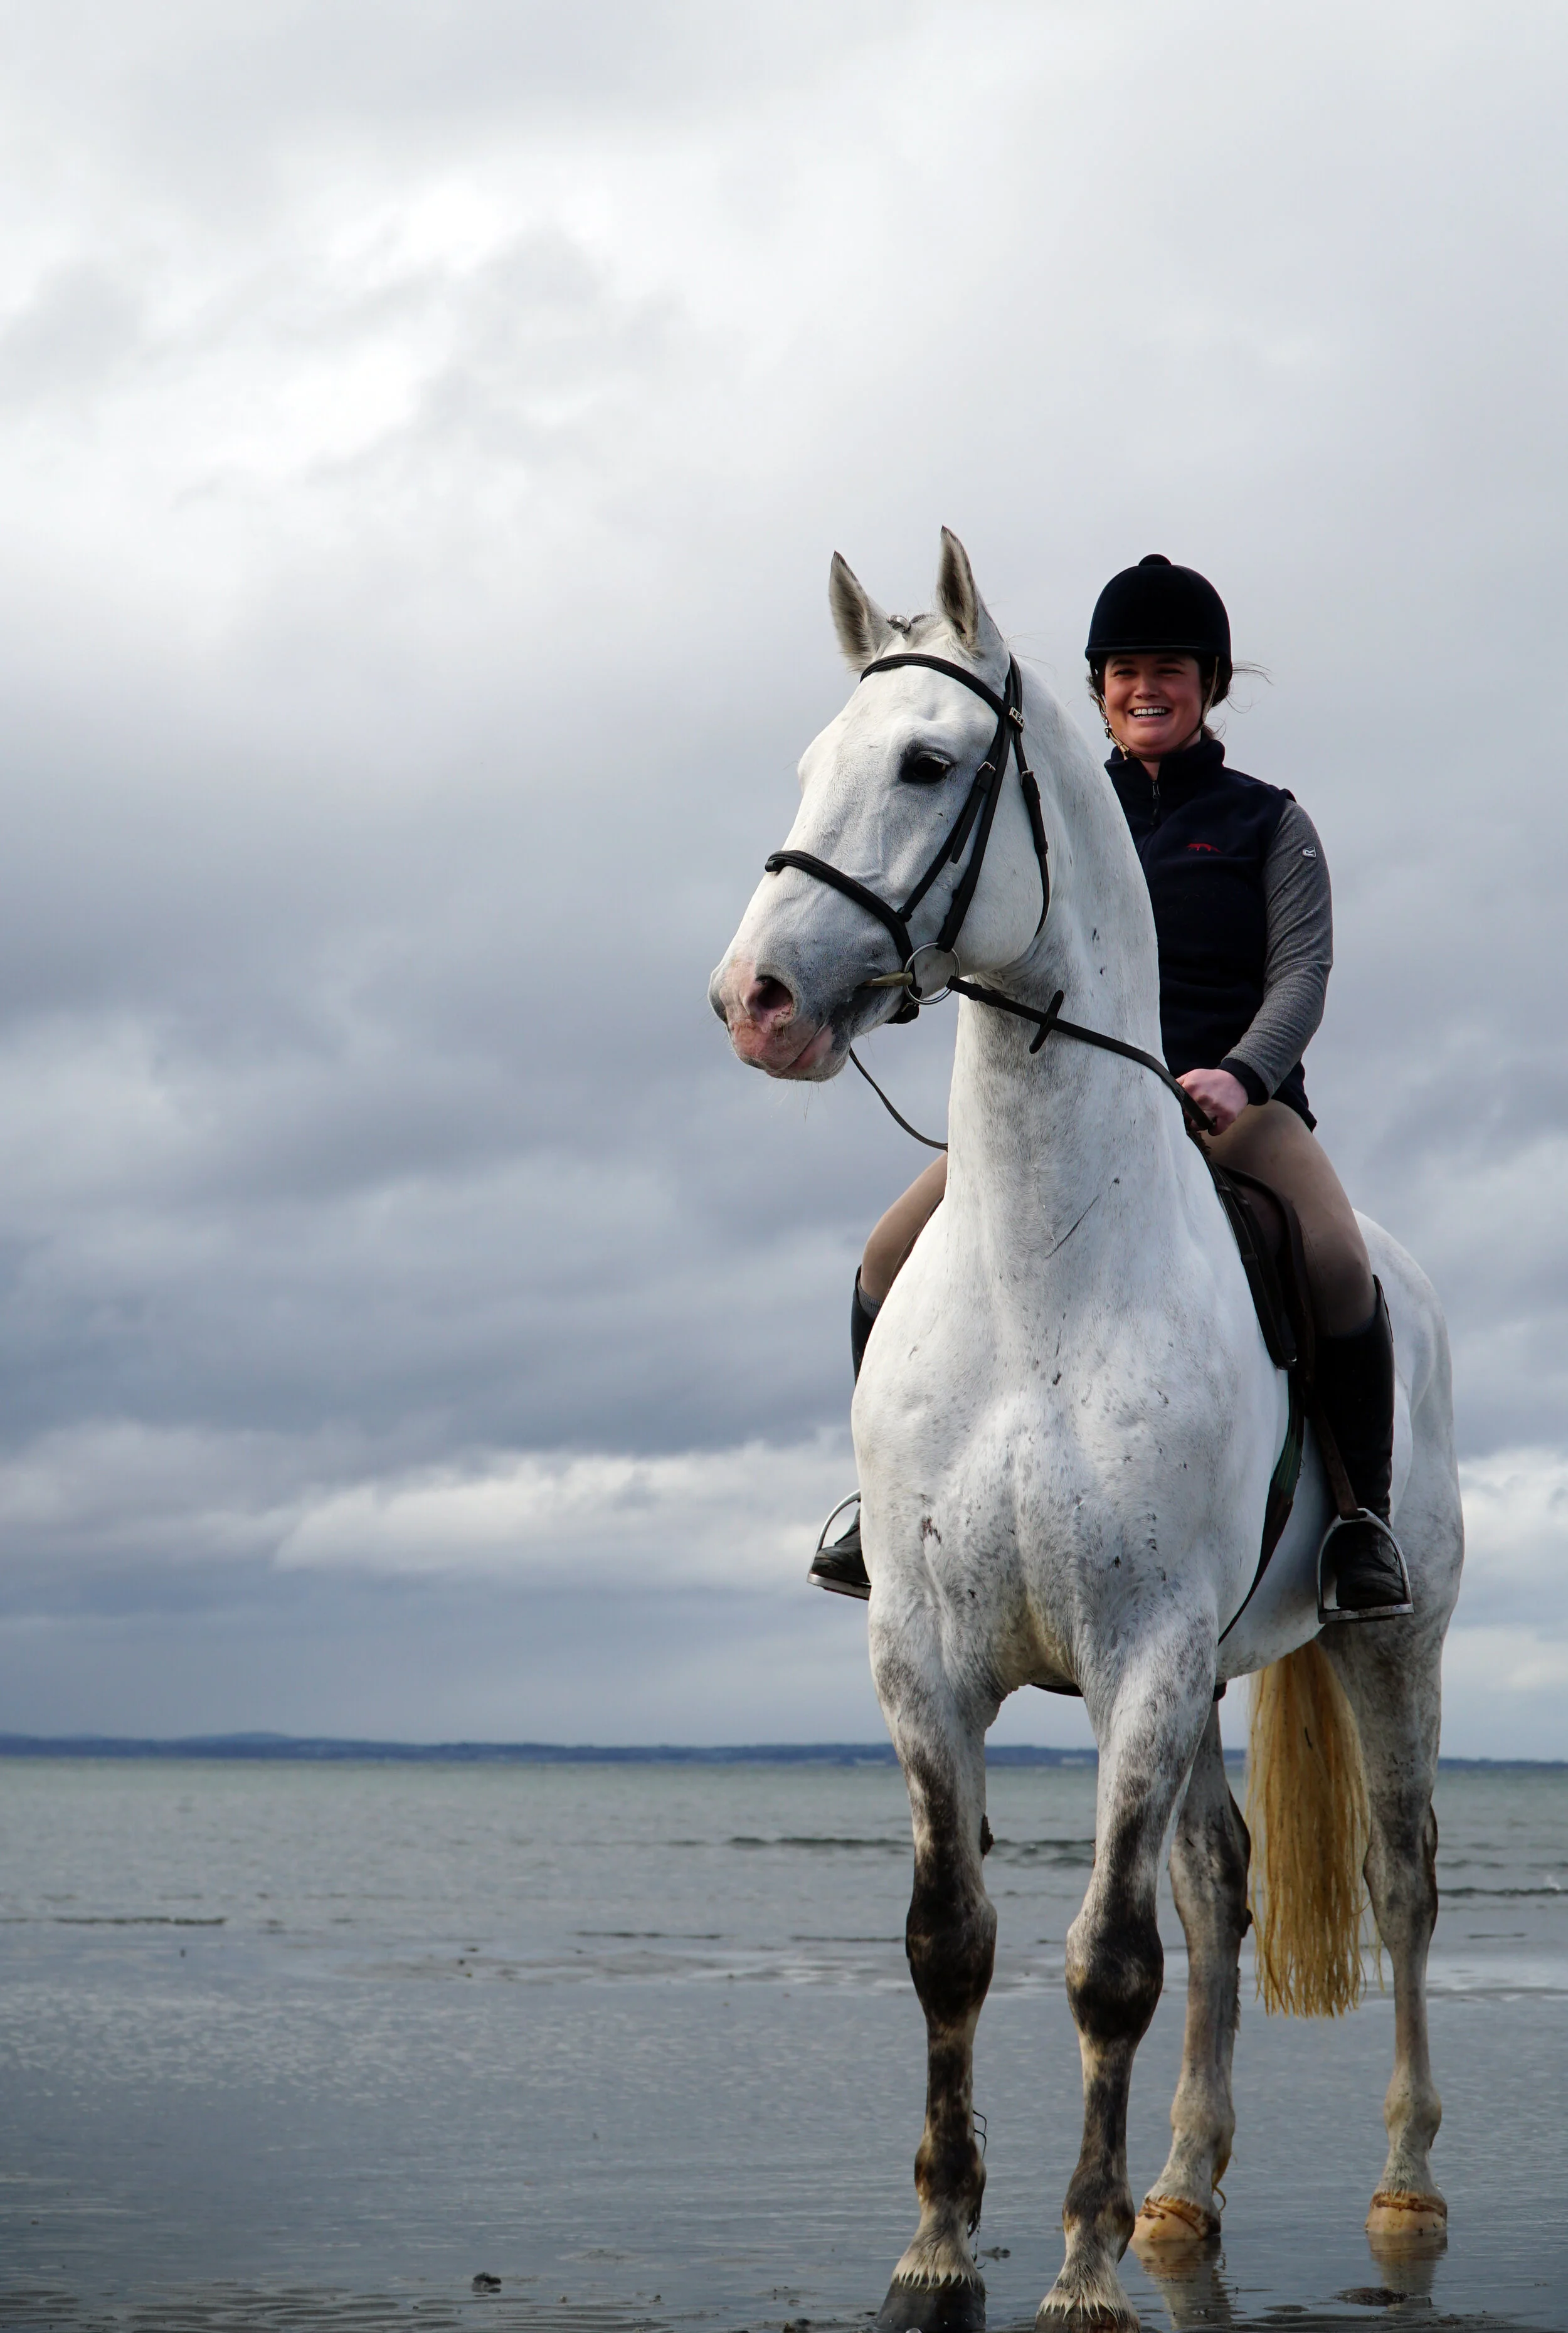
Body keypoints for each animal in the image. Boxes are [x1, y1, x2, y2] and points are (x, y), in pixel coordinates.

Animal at [708, 532, 1463, 2331]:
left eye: (925, 765)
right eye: (811, 764)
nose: (751, 1001)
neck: (1042, 1277)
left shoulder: (1141, 1656)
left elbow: (1106, 1966)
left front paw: (1076, 2272)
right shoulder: (928, 1656)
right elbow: (953, 1940)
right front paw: (936, 2251)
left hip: (1374, 1646)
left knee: (1397, 1880)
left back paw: (1399, 2186)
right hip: (1196, 1694)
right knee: (1217, 1884)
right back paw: (1180, 2194)